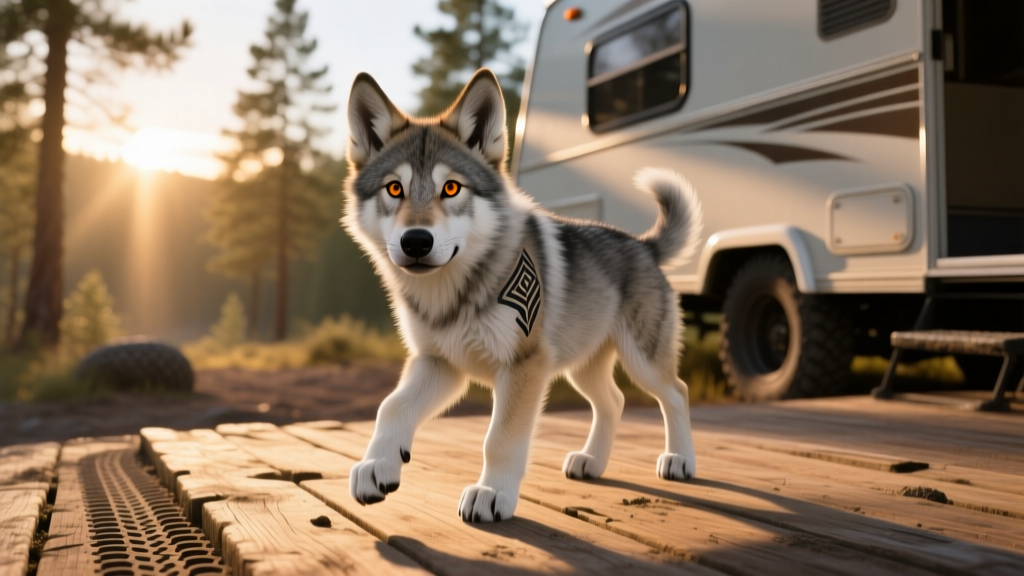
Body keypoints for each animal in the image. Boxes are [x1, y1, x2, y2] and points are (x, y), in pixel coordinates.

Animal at [342, 68, 703, 522]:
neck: (457, 293)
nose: (416, 241)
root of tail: (644, 245)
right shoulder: (440, 363)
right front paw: (377, 466)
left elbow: (499, 437)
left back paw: (680, 460)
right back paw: (591, 461)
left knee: (677, 392)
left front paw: (491, 493)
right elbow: (390, 406)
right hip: (581, 365)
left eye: (451, 188)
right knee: (615, 401)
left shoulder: (523, 366)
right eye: (394, 189)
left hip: (641, 360)